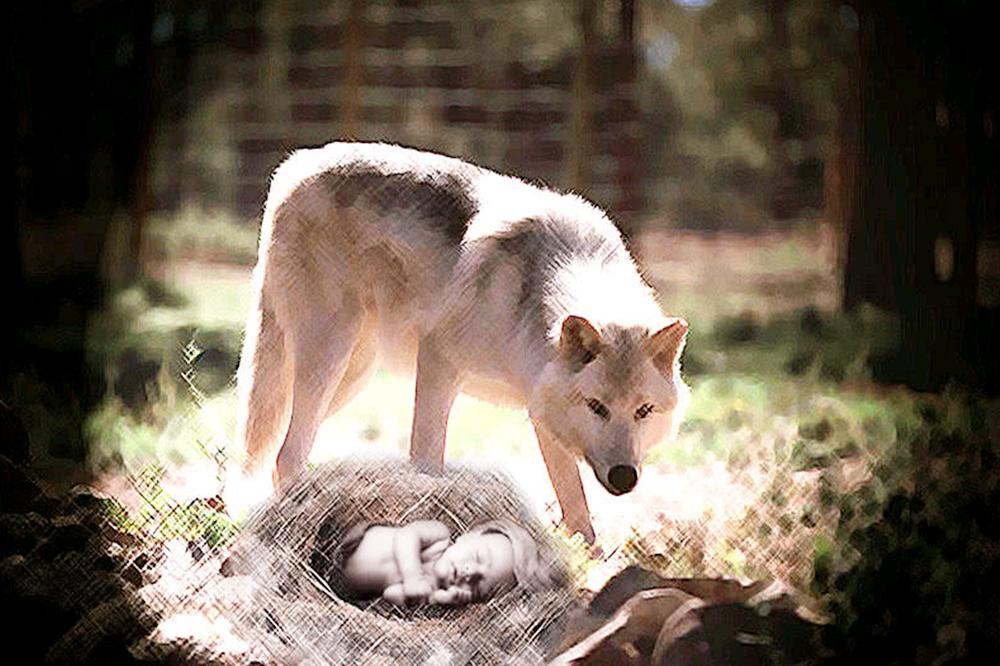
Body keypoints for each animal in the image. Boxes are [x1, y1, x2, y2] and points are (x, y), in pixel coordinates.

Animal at [235, 142, 689, 543]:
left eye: (643, 410)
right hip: (327, 360)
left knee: (276, 450)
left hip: (348, 378)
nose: (624, 477)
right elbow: (427, 465)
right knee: (286, 455)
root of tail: (297, 164)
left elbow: (576, 510)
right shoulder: (438, 365)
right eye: (597, 407)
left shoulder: (541, 415)